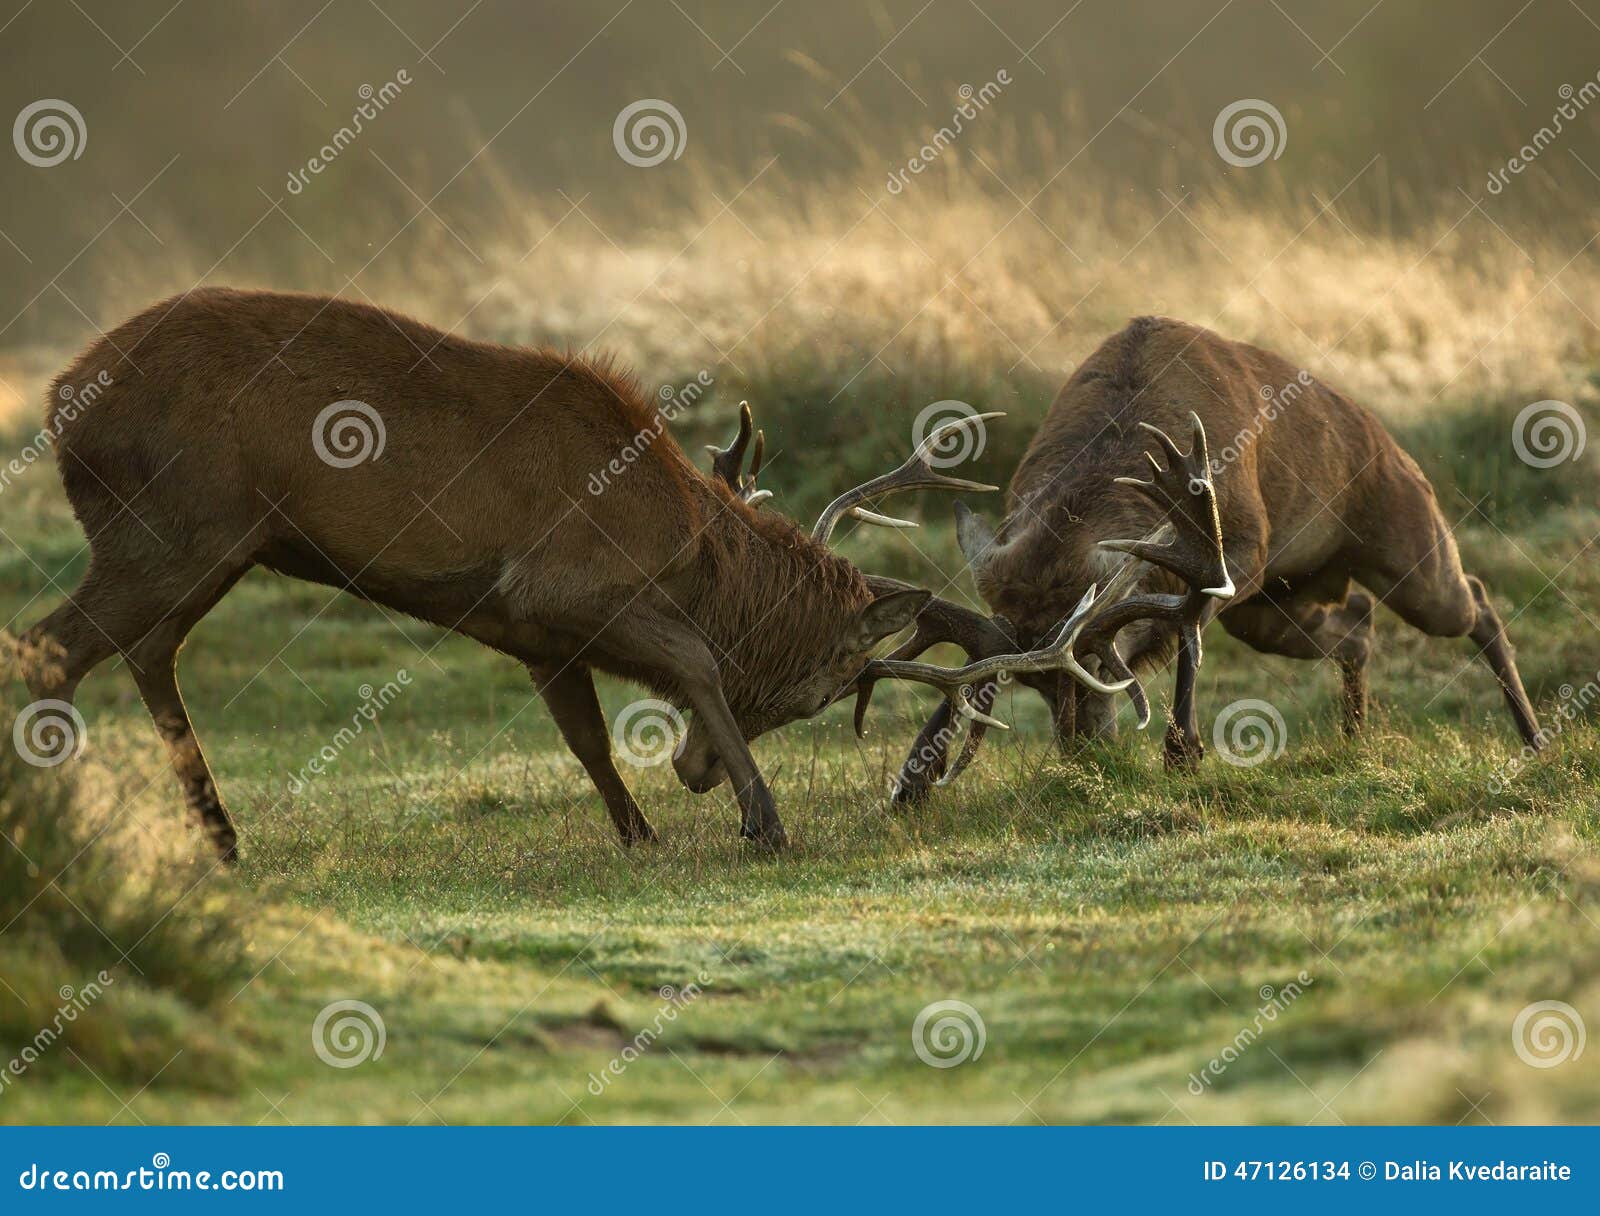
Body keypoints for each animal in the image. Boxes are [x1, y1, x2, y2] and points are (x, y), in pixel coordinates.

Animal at [14, 289, 1225, 862]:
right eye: (822, 692)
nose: (693, 771)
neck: (687, 541)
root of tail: (60, 403)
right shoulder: (559, 586)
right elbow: (690, 659)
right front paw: (762, 818)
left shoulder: (533, 633)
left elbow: (586, 734)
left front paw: (640, 828)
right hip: (172, 524)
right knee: (49, 646)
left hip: (201, 545)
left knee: (140, 649)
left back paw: (218, 833)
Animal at [881, 314, 1546, 803]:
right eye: (1030, 683)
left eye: (1099, 665)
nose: (1083, 756)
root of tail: (1385, 437)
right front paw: (912, 779)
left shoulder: (1243, 547)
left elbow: (1190, 618)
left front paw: (1184, 752)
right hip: (1279, 606)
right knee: (1357, 622)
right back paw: (1355, 738)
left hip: (1410, 548)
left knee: (1475, 600)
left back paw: (1534, 737)